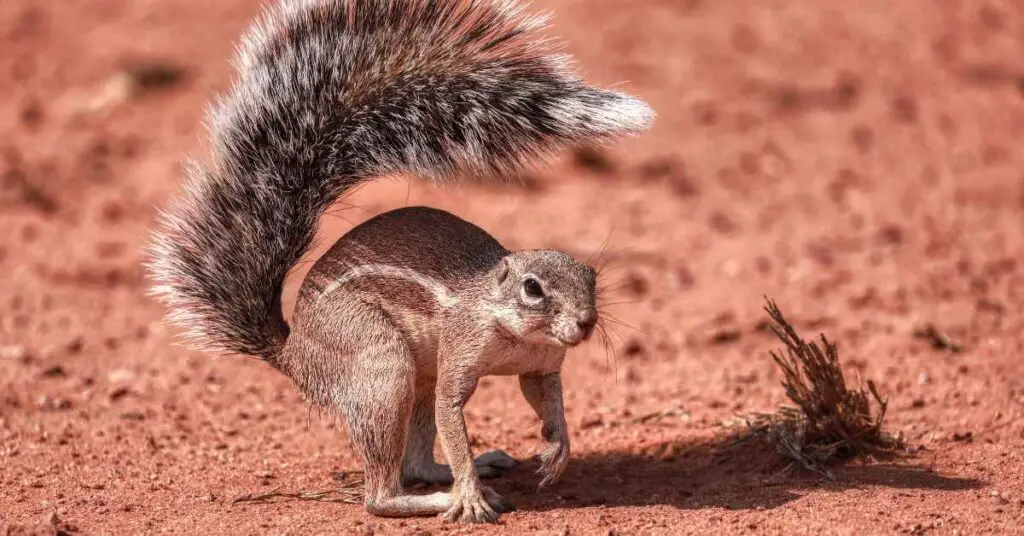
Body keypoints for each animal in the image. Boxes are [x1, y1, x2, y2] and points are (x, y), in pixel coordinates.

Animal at [148, 0, 652, 524]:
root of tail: (295, 354)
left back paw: (464, 470)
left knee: (417, 462)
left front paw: (558, 449)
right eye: (532, 288)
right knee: (380, 494)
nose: (586, 323)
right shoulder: (459, 354)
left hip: (414, 378)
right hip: (380, 367)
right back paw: (439, 497)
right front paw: (471, 496)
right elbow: (453, 418)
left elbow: (545, 401)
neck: (516, 332)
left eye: (591, 277)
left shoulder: (541, 368)